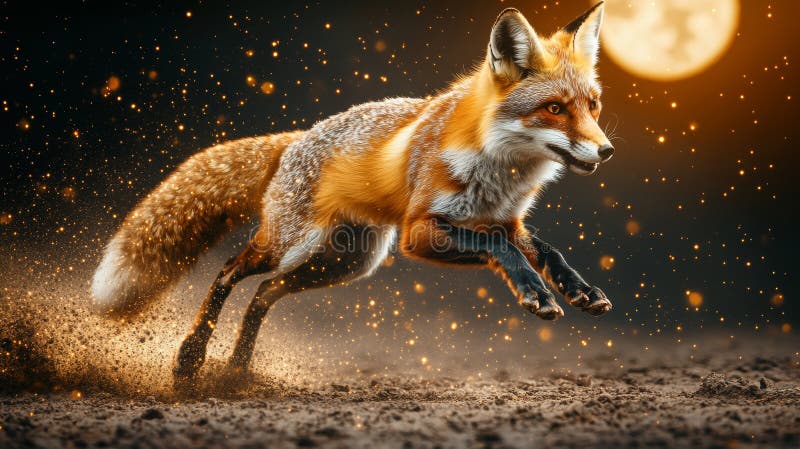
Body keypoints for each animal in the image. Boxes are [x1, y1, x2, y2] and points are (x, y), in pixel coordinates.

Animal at [92, 3, 615, 387]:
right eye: (554, 109)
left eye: (592, 106)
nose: (606, 150)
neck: (499, 171)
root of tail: (295, 139)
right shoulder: (420, 231)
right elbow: (502, 251)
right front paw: (536, 294)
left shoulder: (503, 219)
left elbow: (544, 250)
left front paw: (578, 289)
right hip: (291, 246)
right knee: (228, 272)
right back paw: (190, 359)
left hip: (345, 262)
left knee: (263, 294)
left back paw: (237, 371)